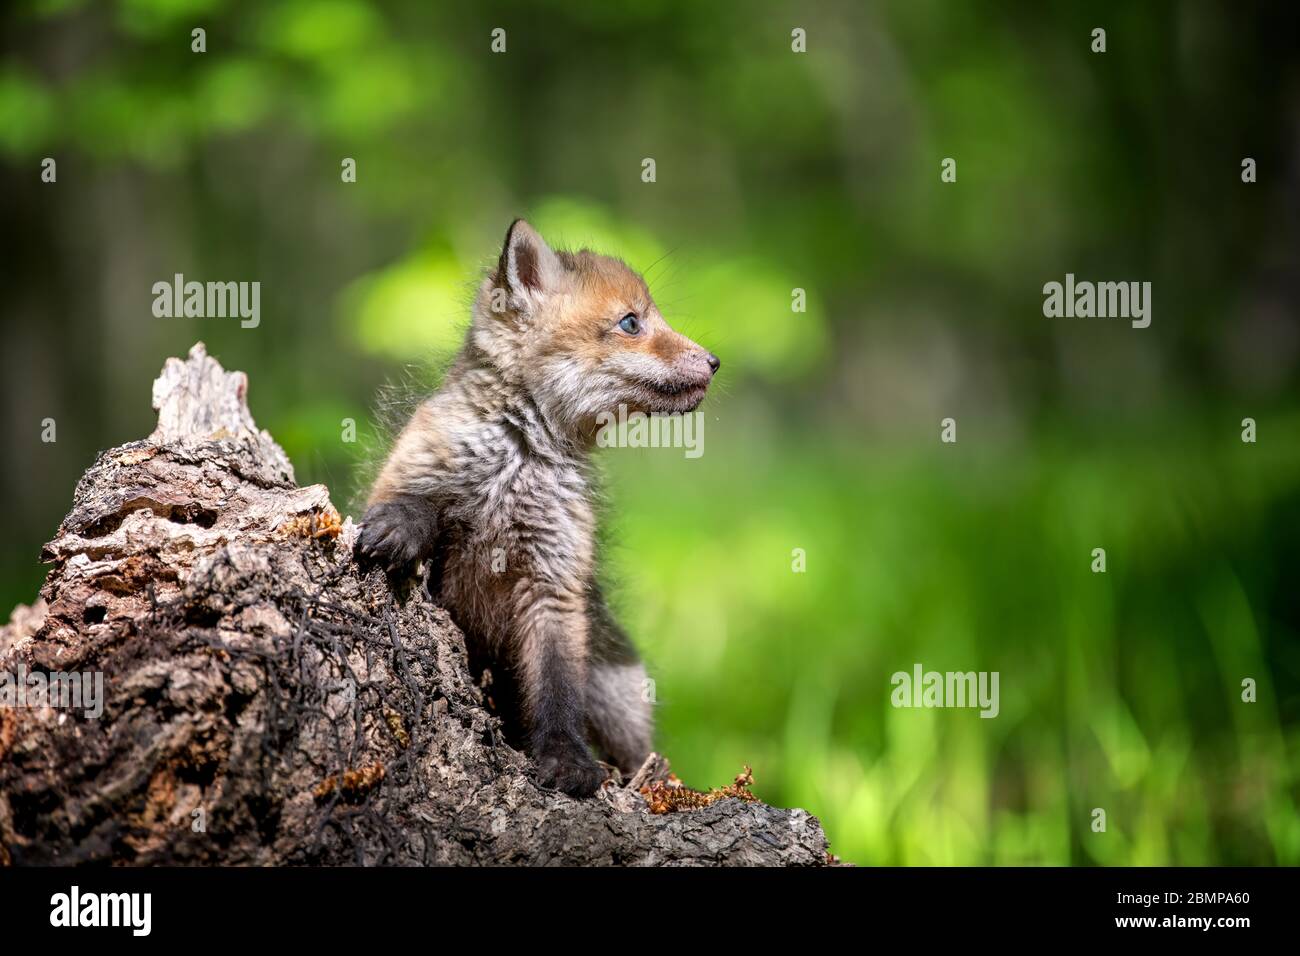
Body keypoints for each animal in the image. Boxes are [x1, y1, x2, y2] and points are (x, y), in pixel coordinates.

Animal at [356, 219, 720, 797]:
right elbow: (422, 503)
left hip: (618, 696)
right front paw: (400, 526)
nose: (713, 361)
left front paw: (566, 759)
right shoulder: (411, 471)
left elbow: (557, 689)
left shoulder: (554, 584)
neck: (518, 461)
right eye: (631, 322)